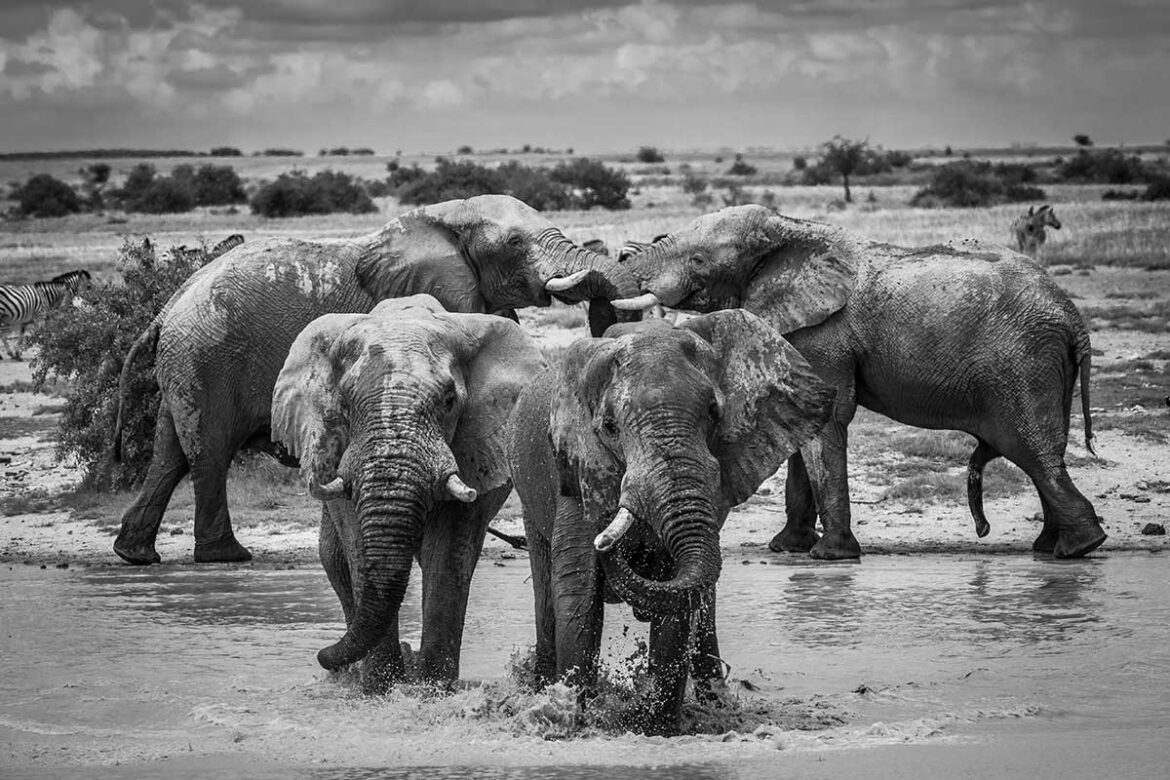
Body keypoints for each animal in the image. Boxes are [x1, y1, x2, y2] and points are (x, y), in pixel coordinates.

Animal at [112, 194, 639, 565]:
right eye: (514, 244)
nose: (619, 254)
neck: (447, 214)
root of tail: (166, 307)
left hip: (186, 360)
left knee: (170, 453)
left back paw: (135, 555)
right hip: (208, 357)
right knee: (209, 451)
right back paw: (226, 557)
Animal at [271, 294, 545, 688]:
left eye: (449, 401)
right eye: (345, 404)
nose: (322, 657)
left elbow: (446, 554)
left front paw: (432, 688)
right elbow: (358, 549)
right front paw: (381, 690)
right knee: (334, 558)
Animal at [506, 311, 834, 734]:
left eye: (714, 412)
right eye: (609, 427)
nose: (605, 542)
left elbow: (677, 595)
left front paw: (652, 727)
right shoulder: (575, 470)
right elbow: (578, 586)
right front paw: (572, 719)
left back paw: (717, 706)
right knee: (545, 587)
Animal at [611, 205, 1105, 560]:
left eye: (698, 260)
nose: (622, 253)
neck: (789, 228)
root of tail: (1073, 317)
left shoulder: (823, 334)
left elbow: (827, 420)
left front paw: (829, 556)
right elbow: (805, 421)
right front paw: (786, 548)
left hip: (1021, 362)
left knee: (1030, 449)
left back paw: (1078, 548)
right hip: (1043, 362)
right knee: (1043, 453)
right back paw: (1050, 548)